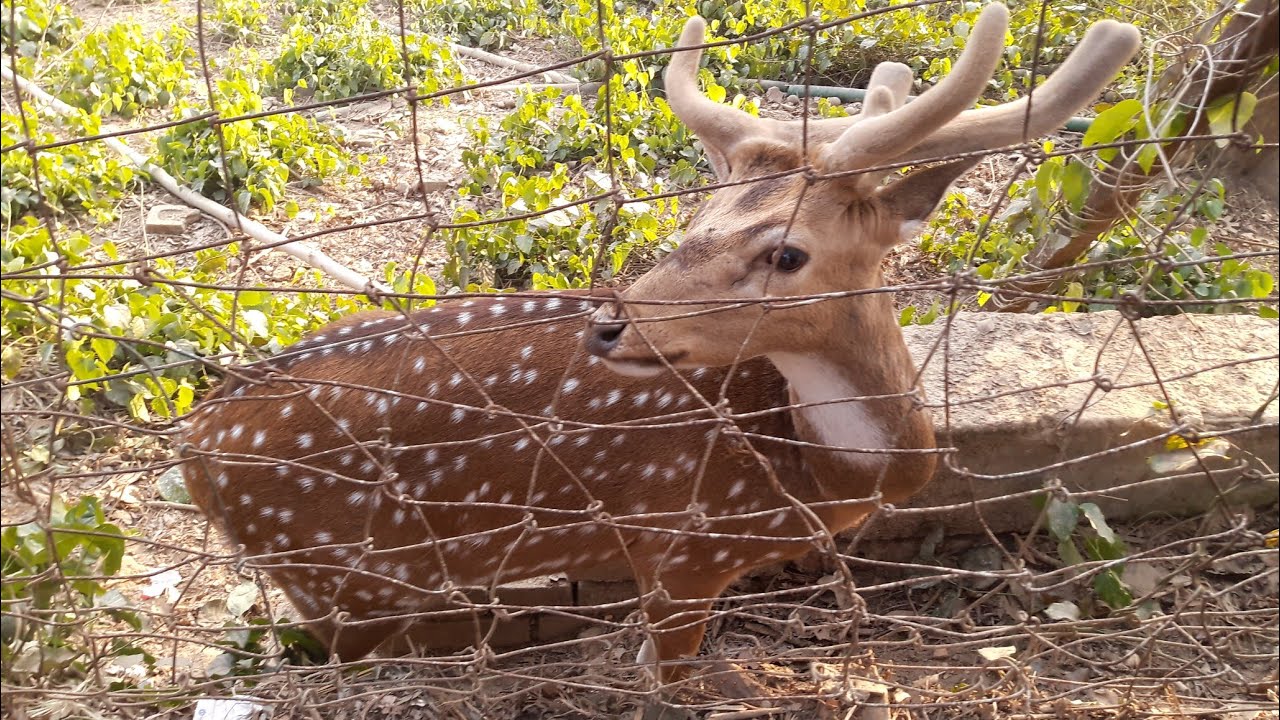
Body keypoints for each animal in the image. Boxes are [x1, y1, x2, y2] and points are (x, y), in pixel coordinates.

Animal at [180, 4, 1140, 683]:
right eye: (694, 219)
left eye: (786, 251)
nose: (610, 322)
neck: (821, 474)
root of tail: (192, 448)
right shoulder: (687, 551)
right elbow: (667, 680)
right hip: (340, 577)